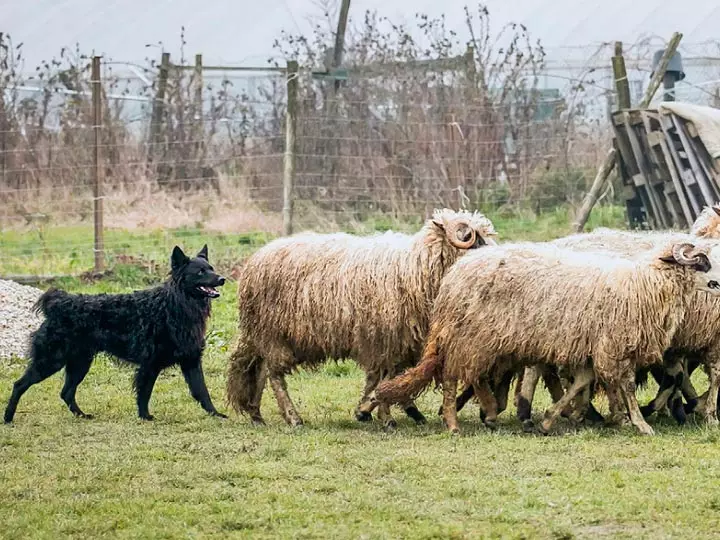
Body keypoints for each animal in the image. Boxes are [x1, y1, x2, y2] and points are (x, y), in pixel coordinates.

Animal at [3, 244, 228, 422]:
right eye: (200, 272)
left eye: (211, 269)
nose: (223, 279)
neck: (174, 305)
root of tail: (60, 304)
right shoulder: (150, 365)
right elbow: (144, 393)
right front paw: (145, 417)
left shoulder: (191, 361)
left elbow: (202, 392)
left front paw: (215, 414)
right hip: (50, 361)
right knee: (19, 385)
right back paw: (8, 417)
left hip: (79, 363)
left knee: (66, 392)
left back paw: (81, 415)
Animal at [225, 209, 496, 428]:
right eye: (471, 237)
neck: (417, 266)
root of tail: (254, 261)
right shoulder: (385, 339)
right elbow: (384, 378)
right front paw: (385, 417)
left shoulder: (390, 341)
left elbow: (380, 379)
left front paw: (368, 411)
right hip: (274, 333)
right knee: (274, 375)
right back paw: (293, 417)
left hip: (270, 335)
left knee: (259, 370)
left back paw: (256, 414)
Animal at [374, 240, 720, 434]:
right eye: (700, 262)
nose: (719, 283)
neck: (643, 283)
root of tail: (454, 276)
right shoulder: (612, 346)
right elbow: (626, 387)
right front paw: (640, 423)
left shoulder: (589, 348)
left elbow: (580, 383)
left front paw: (551, 420)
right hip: (469, 336)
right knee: (451, 376)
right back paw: (454, 423)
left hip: (484, 340)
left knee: (474, 377)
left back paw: (492, 412)